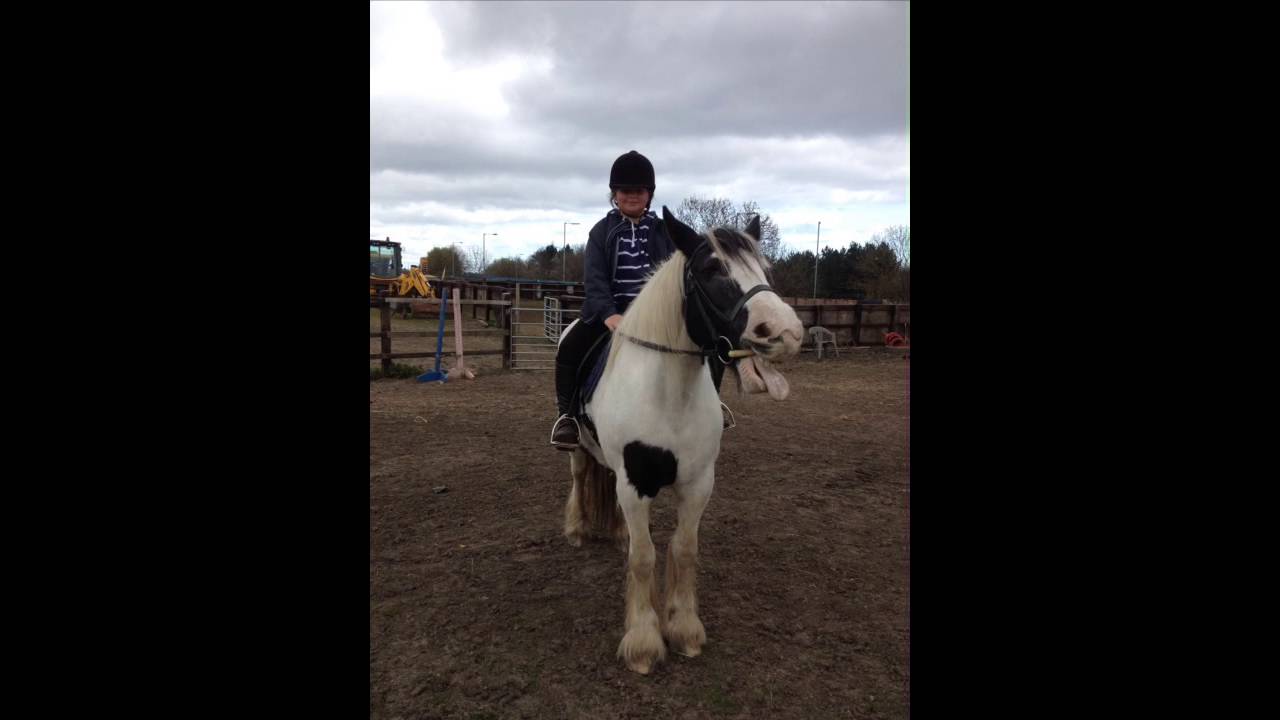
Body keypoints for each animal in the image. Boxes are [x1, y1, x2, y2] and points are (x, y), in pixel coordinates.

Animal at [558, 205, 804, 674]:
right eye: (712, 269)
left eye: (765, 269)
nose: (785, 333)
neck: (669, 394)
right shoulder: (635, 483)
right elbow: (643, 558)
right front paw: (643, 643)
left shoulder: (698, 483)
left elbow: (684, 550)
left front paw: (685, 630)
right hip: (579, 448)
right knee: (579, 476)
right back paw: (578, 529)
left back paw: (617, 532)